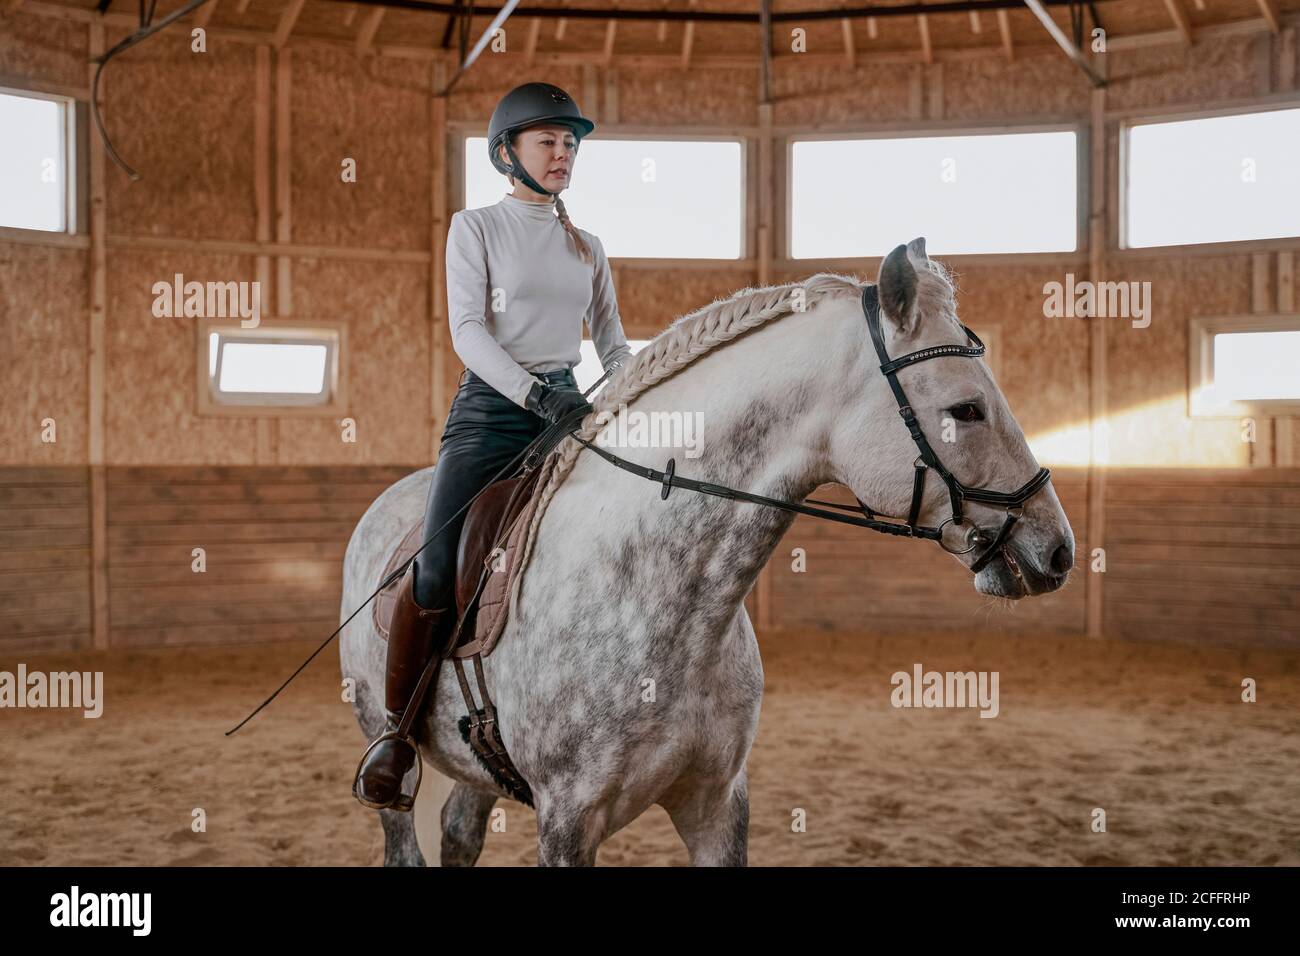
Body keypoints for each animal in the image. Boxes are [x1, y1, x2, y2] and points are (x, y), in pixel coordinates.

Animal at [338, 238, 1075, 866]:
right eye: (967, 409)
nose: (1057, 550)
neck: (668, 603)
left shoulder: (717, 802)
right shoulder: (567, 820)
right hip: (388, 749)